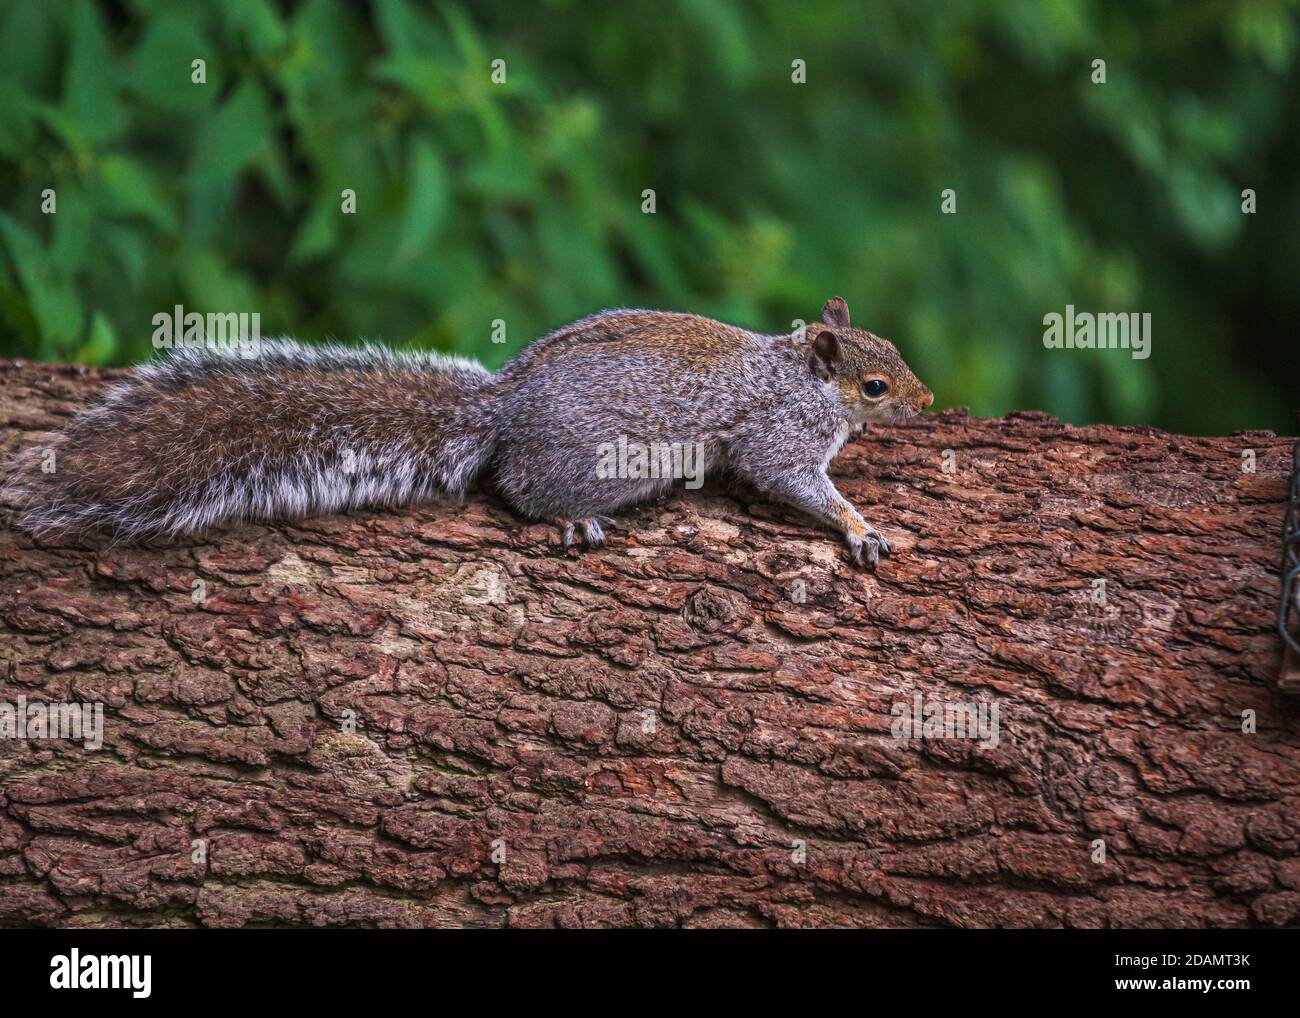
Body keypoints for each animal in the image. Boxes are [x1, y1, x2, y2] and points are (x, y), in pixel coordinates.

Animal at [5, 297, 933, 566]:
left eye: (897, 352)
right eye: (875, 383)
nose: (925, 401)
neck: (796, 373)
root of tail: (503, 413)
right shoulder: (779, 433)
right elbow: (789, 478)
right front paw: (859, 526)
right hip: (596, 466)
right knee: (519, 490)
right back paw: (569, 518)